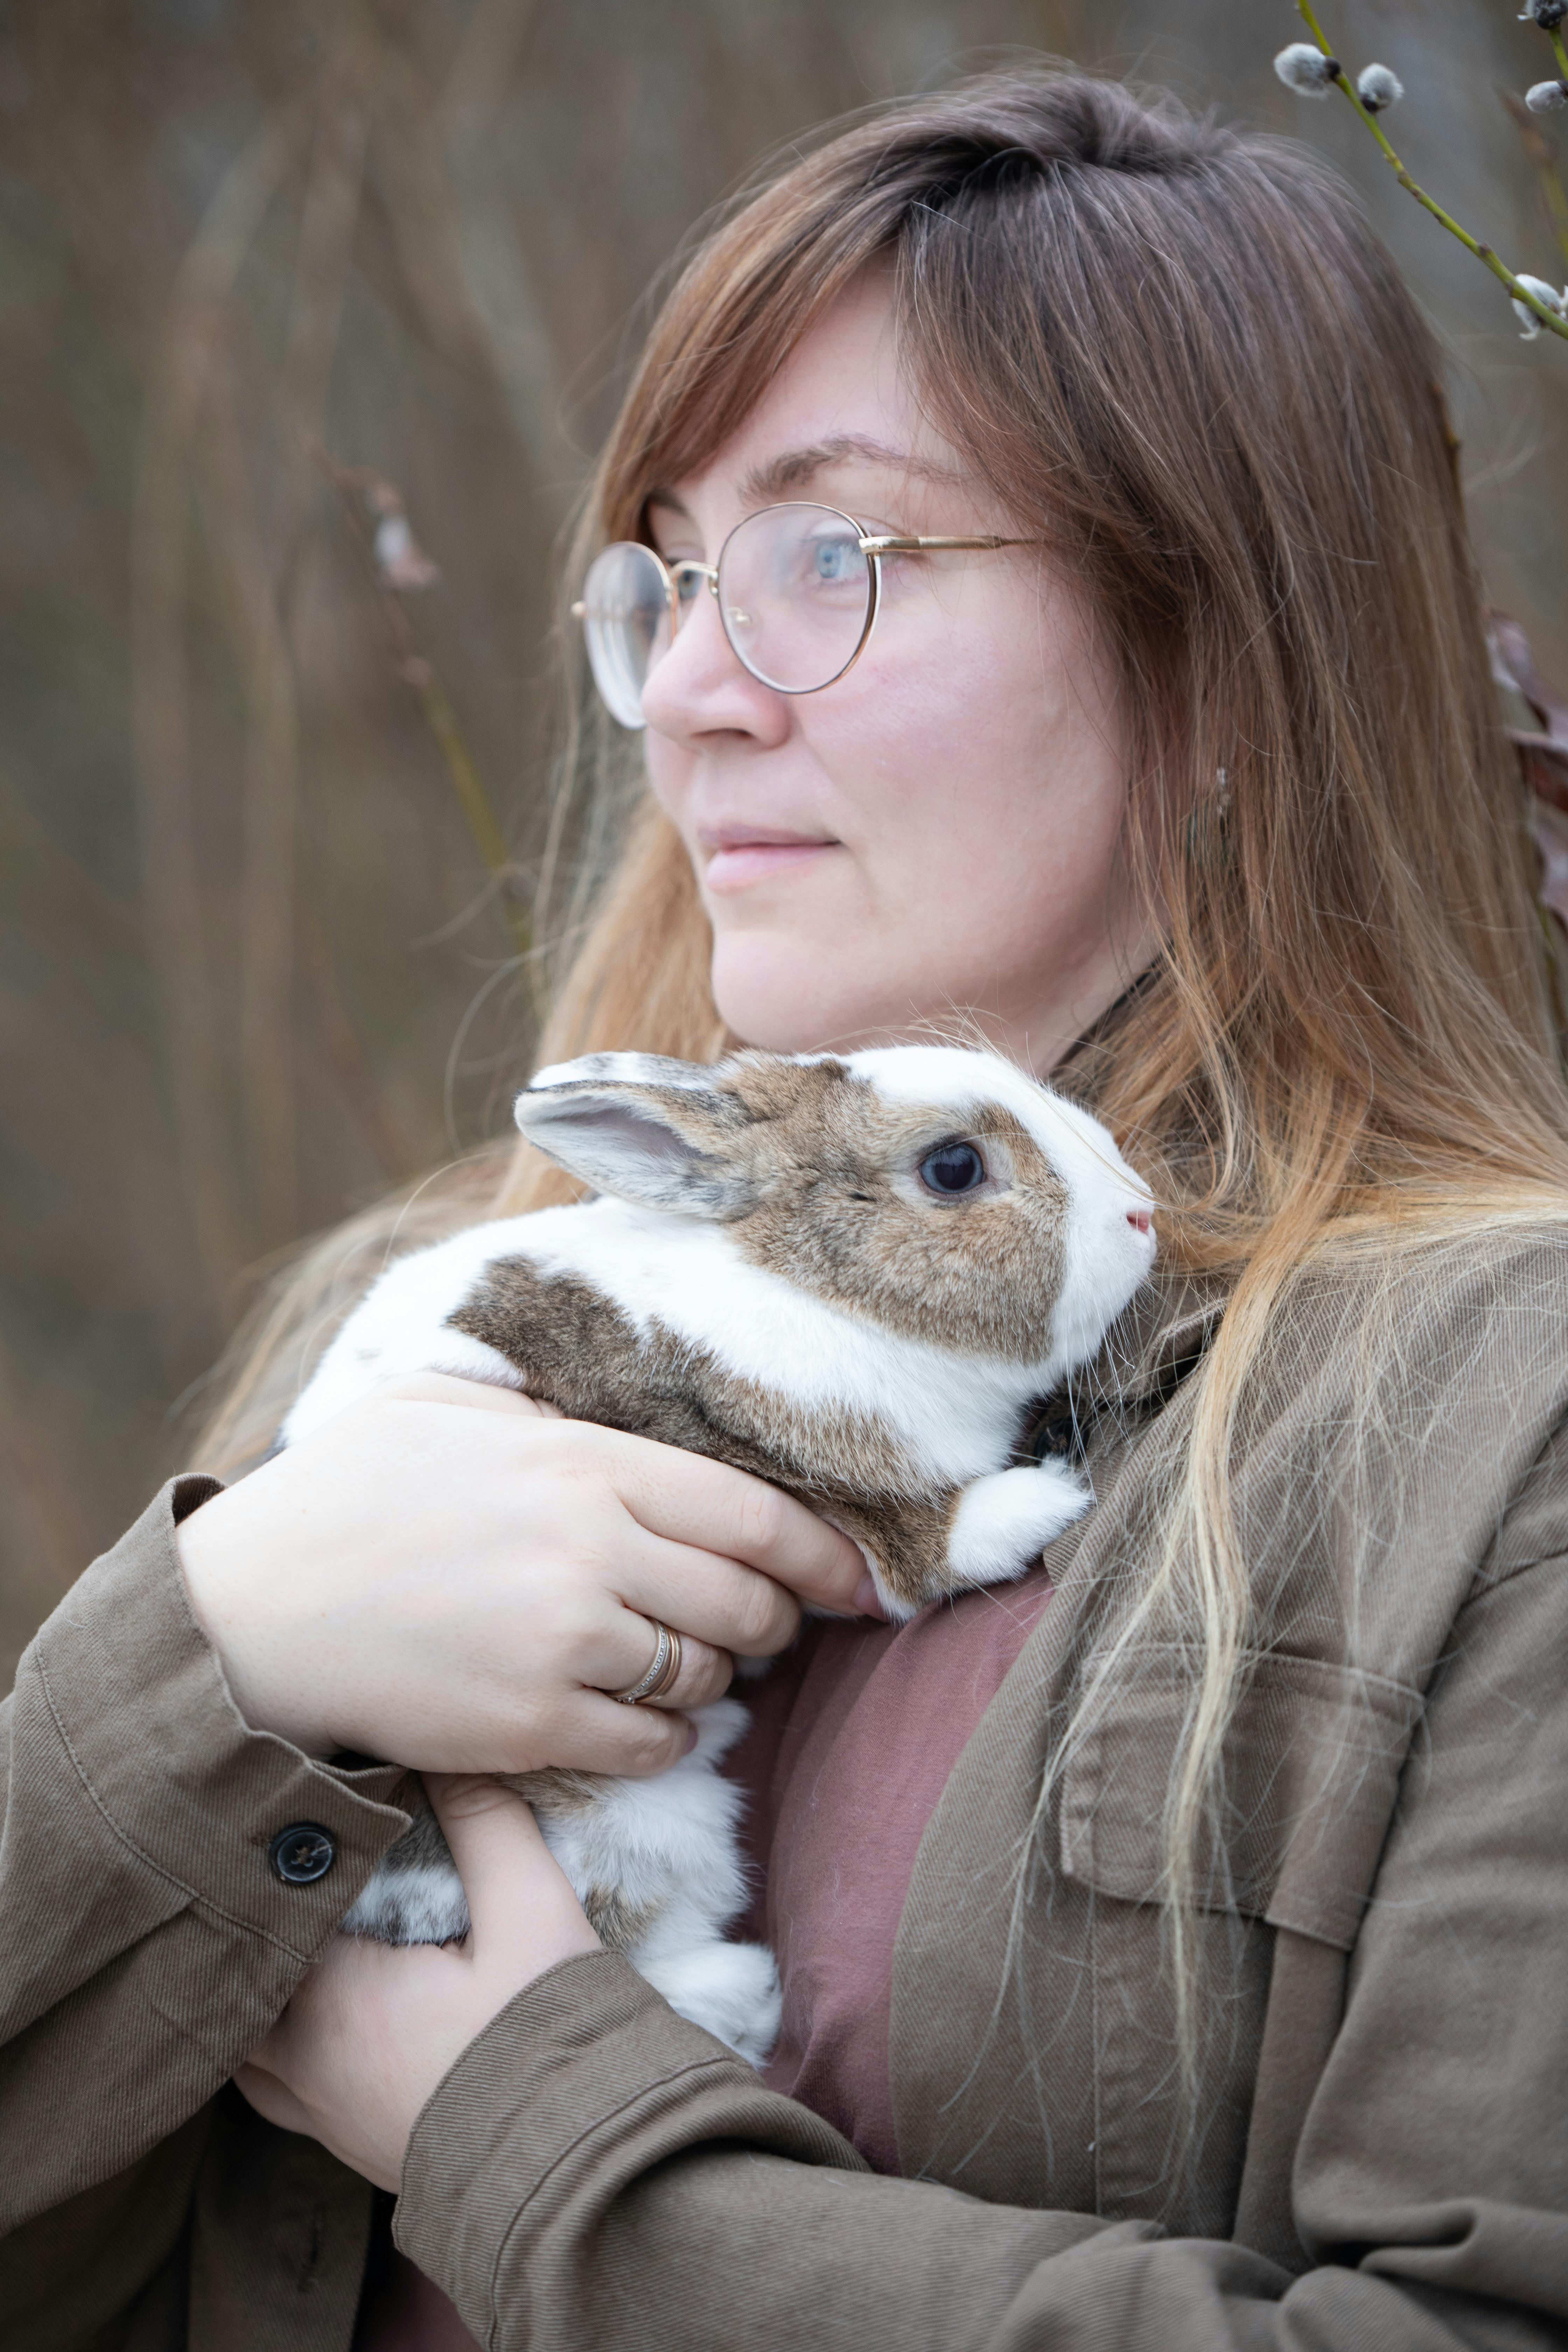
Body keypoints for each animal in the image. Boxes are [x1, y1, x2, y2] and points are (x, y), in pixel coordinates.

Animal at [278, 1043, 1157, 2066]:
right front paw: (1049, 1497)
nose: (1142, 1212)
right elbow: (931, 1546)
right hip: (639, 1826)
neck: (797, 1283)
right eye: (954, 1168)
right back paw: (742, 1992)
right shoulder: (835, 1489)